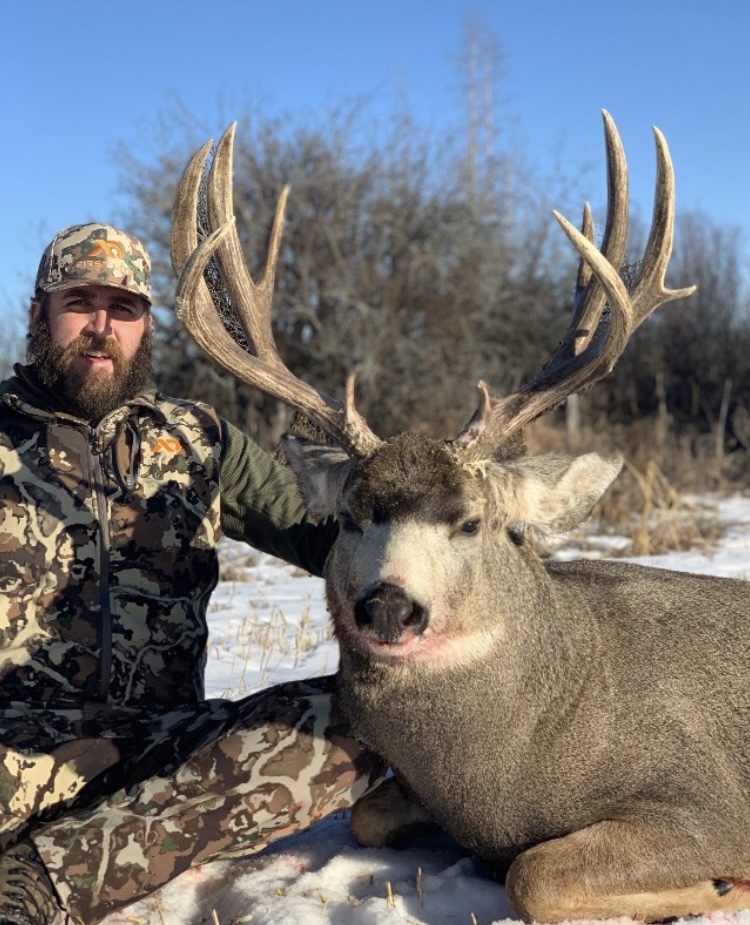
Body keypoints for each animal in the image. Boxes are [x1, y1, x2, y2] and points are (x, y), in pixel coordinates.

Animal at [170, 112, 750, 923]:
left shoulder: (705, 797)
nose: (388, 605)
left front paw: (718, 883)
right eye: (351, 517)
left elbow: (534, 872)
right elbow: (366, 814)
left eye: (473, 522)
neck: (500, 782)